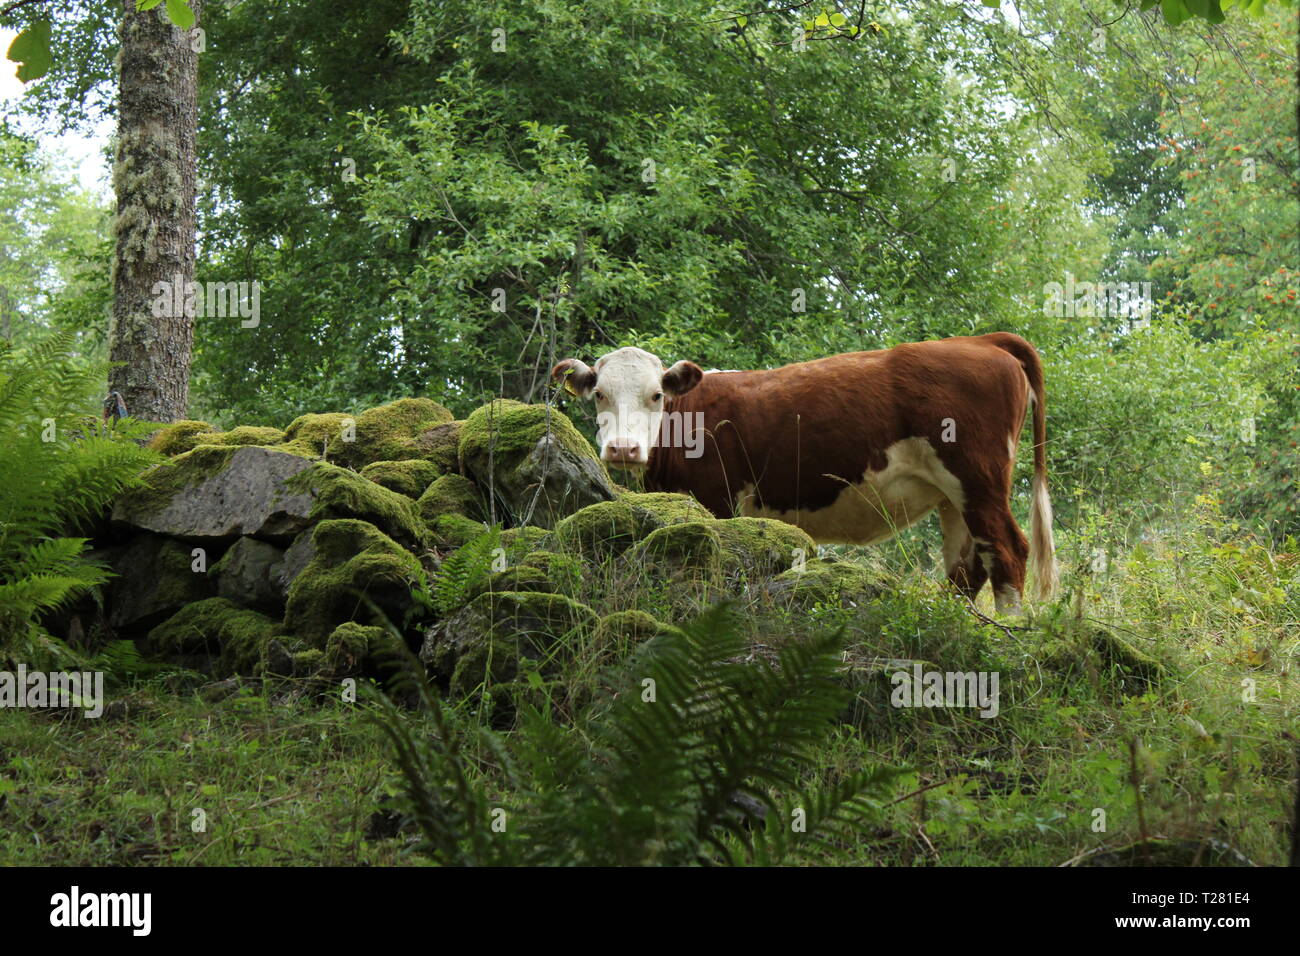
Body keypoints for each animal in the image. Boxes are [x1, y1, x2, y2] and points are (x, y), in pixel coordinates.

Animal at [552, 333, 1057, 613]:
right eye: (599, 393)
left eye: (656, 395)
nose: (623, 448)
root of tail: (981, 340)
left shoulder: (717, 500)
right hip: (954, 497)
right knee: (966, 567)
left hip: (979, 479)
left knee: (1009, 550)